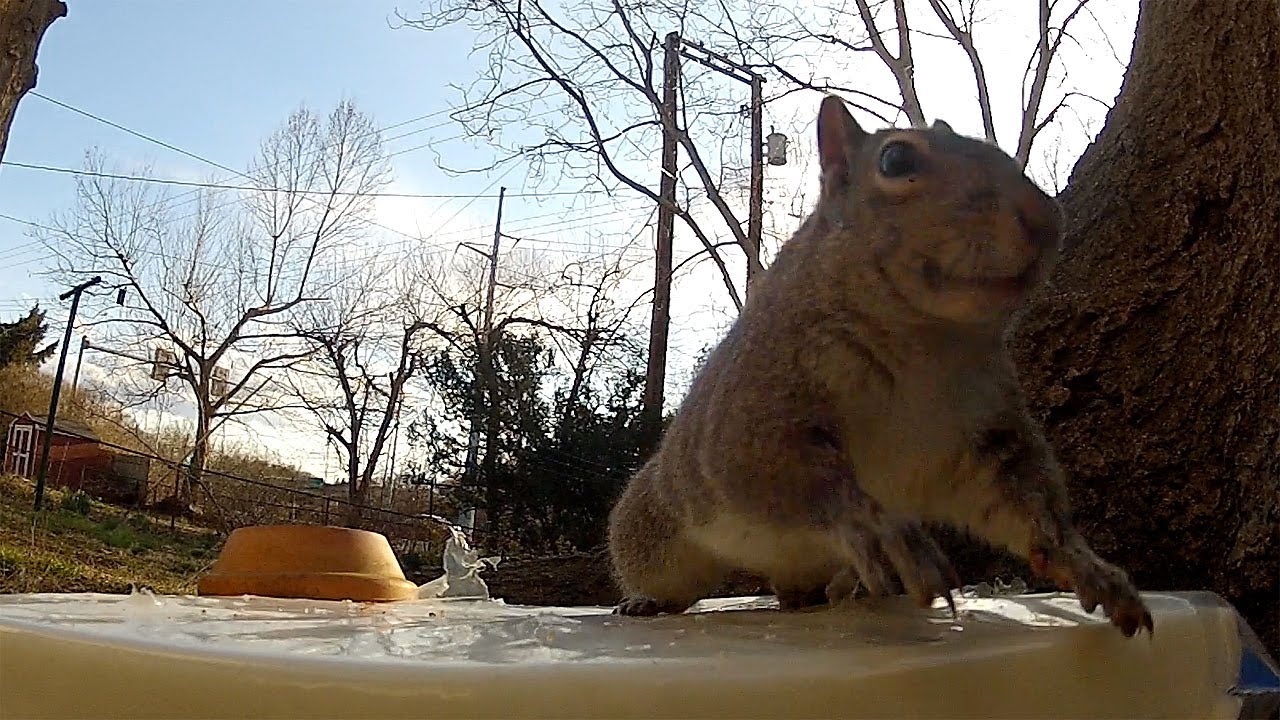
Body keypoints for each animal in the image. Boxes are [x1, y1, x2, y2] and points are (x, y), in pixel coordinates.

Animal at [607, 94, 1153, 637]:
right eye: (895, 160)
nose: (1044, 219)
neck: (927, 344)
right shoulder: (752, 418)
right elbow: (796, 481)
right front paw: (885, 531)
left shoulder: (986, 436)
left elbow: (1027, 508)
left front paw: (1091, 569)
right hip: (658, 536)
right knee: (667, 576)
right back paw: (645, 602)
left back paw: (833, 591)